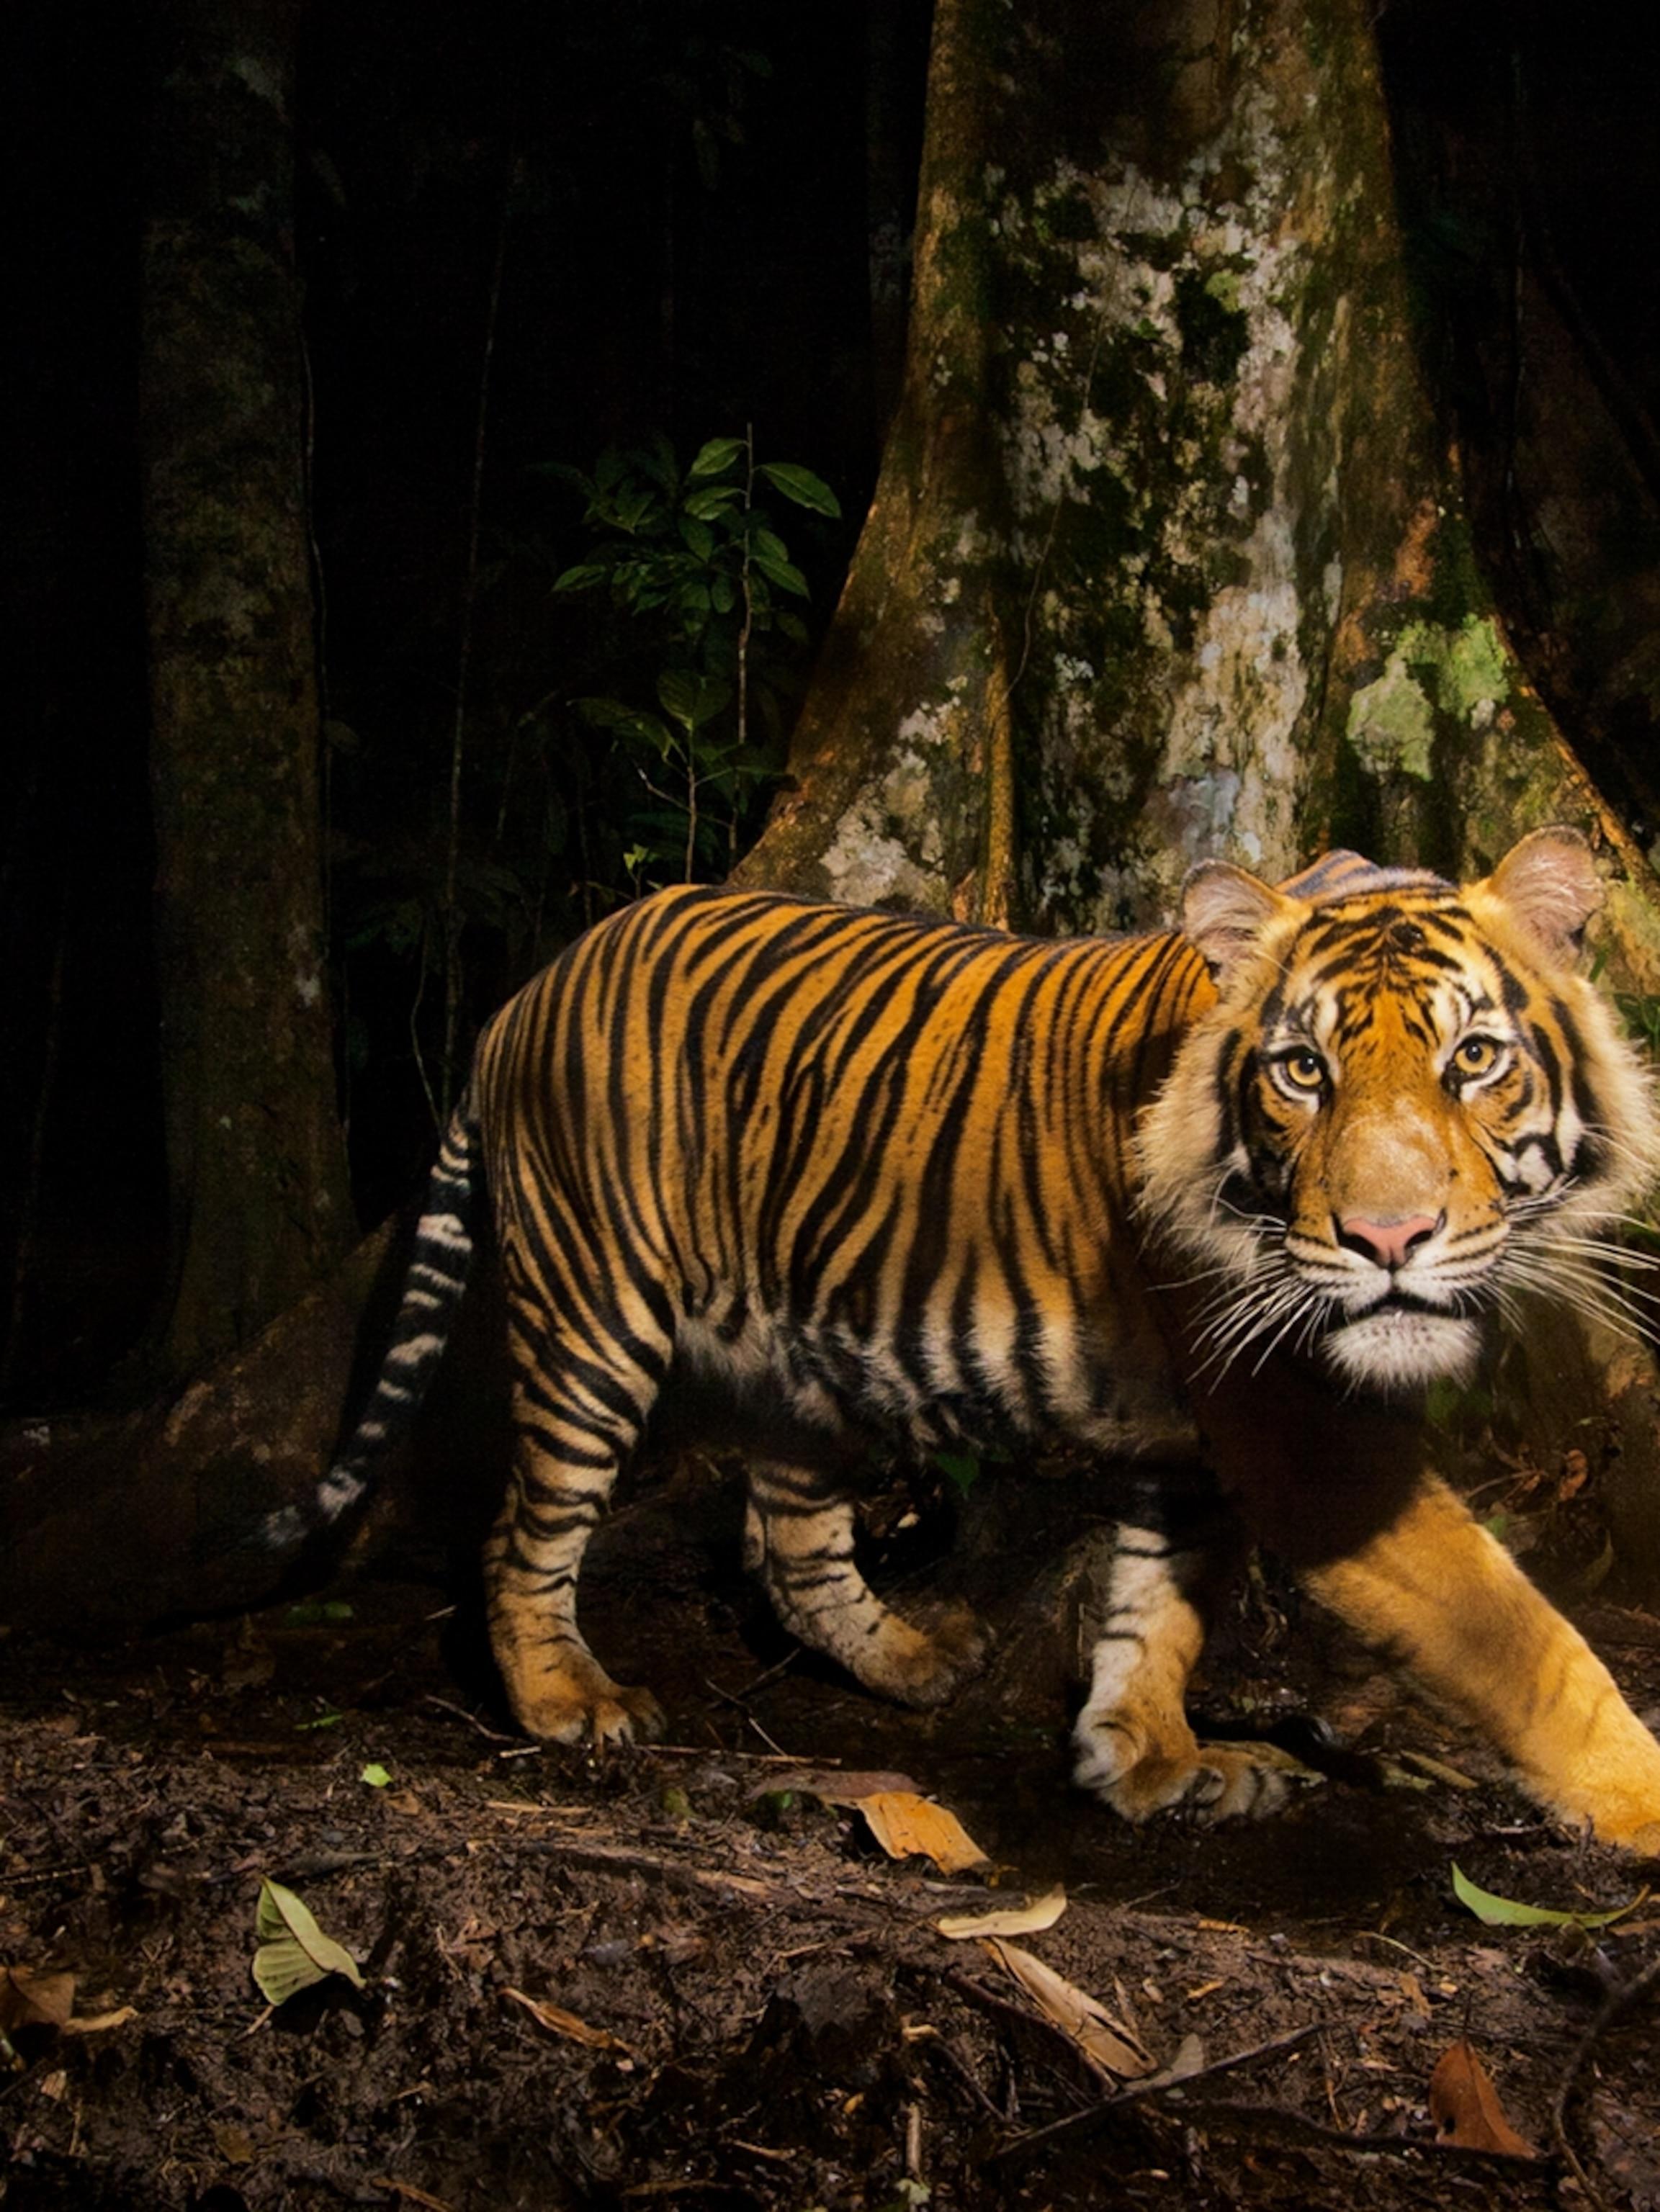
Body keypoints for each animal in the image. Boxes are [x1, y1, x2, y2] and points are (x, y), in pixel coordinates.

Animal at [266, 825, 1660, 1850]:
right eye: (1301, 1072)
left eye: (1473, 1058)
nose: (1385, 1237)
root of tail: (525, 993)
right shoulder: (1303, 1436)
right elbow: (1522, 1638)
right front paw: (1639, 1797)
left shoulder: (1204, 1437)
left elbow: (1158, 1607)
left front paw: (1147, 1761)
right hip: (593, 1321)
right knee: (523, 1531)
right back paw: (570, 1699)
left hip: (801, 1363)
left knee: (791, 1545)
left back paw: (914, 1658)